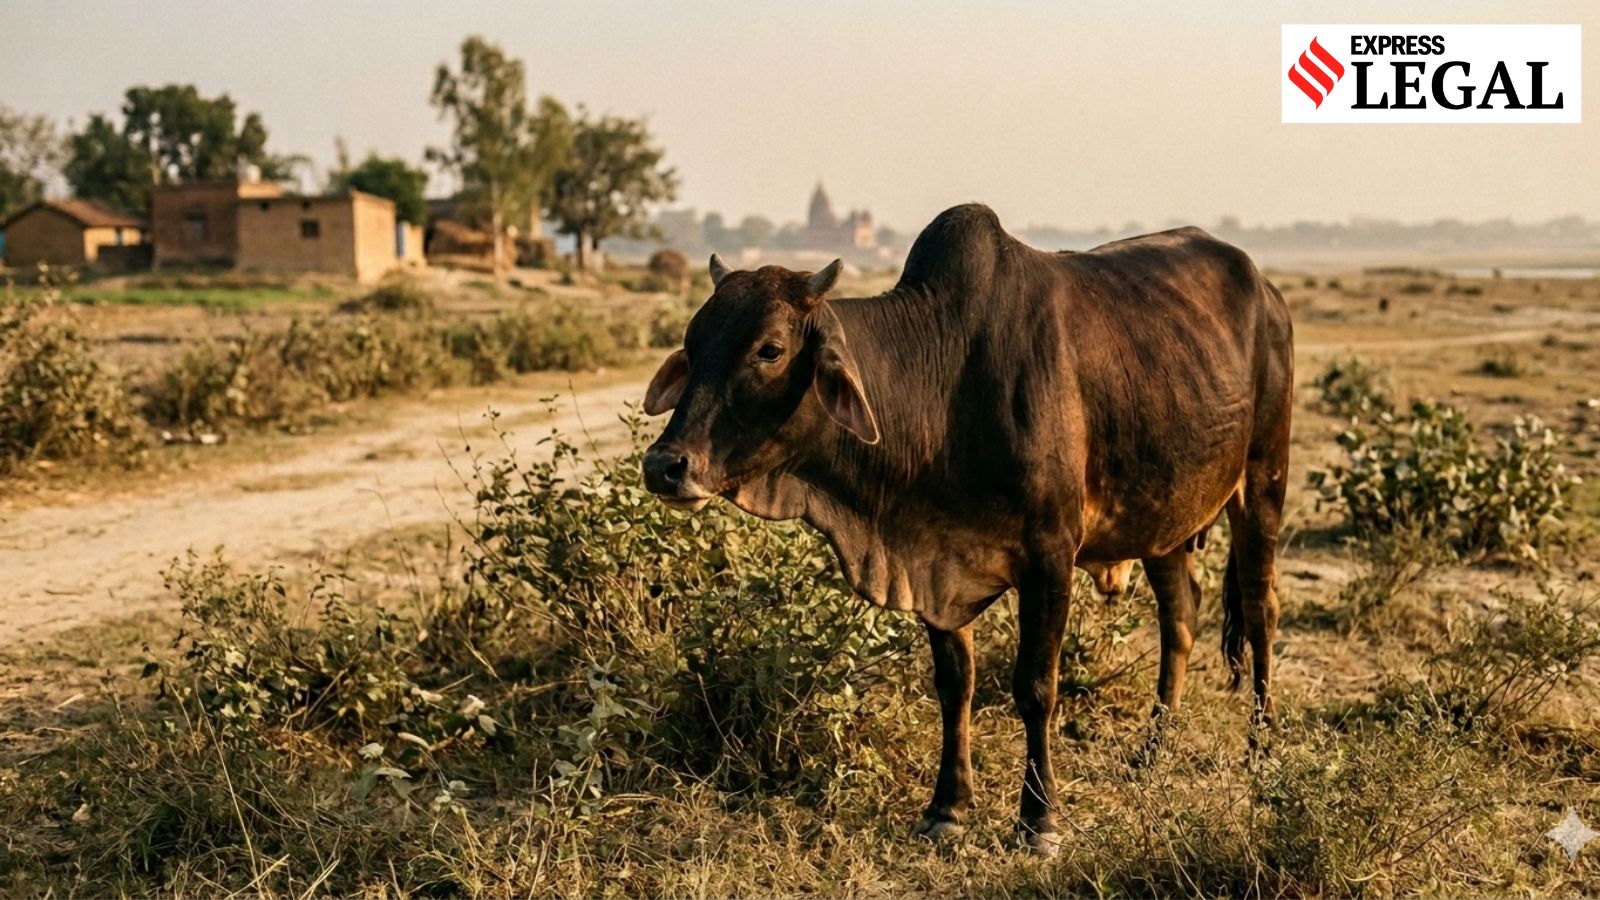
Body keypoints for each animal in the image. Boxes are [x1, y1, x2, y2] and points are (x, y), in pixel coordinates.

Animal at [640, 204, 1293, 853]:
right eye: (693, 343)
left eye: (770, 350)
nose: (664, 465)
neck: (945, 386)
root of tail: (1266, 288)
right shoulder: (935, 564)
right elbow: (956, 684)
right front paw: (947, 808)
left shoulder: (1050, 556)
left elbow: (1035, 687)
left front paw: (1039, 820)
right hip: (1163, 517)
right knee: (1180, 617)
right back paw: (1152, 753)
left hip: (1262, 479)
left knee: (1260, 609)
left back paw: (1260, 751)